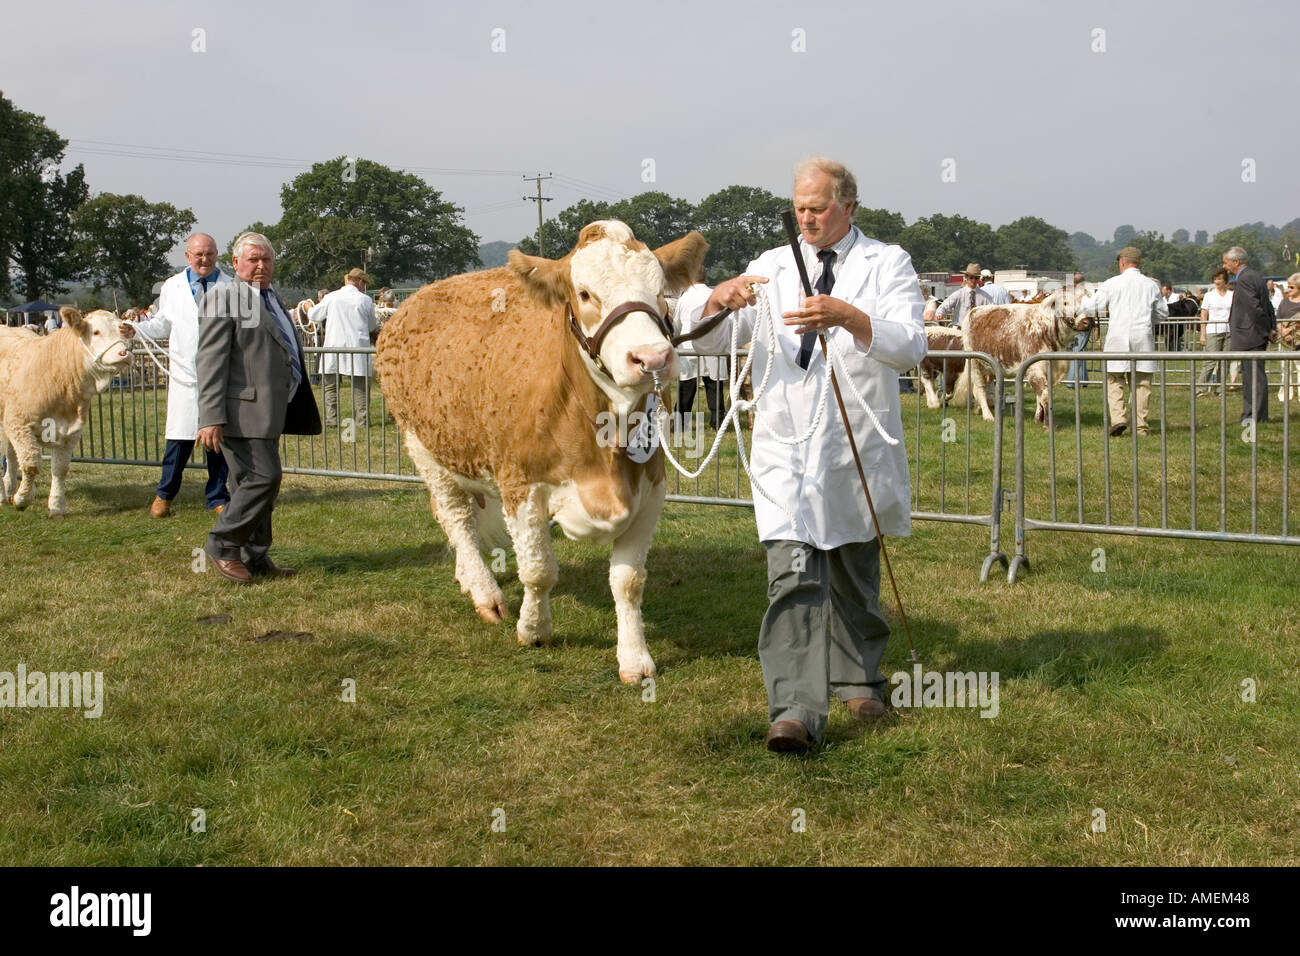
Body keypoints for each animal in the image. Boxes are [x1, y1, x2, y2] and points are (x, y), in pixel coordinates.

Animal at [0, 307, 133, 515]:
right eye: (96, 332)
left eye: (122, 330)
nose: (124, 354)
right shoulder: (18, 423)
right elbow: (31, 465)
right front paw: (22, 499)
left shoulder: (71, 432)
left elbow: (60, 469)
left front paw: (56, 506)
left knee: (11, 454)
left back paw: (10, 486)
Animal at [375, 220, 706, 683]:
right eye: (584, 294)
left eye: (661, 293)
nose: (652, 358)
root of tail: (414, 301)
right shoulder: (522, 487)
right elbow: (538, 570)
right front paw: (534, 629)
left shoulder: (651, 492)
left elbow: (628, 582)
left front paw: (634, 659)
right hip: (423, 446)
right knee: (456, 518)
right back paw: (485, 593)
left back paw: (466, 576)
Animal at [962, 293, 1091, 425]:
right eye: (1065, 302)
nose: (1087, 322)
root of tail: (973, 311)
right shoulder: (1034, 368)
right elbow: (1044, 394)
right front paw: (1047, 422)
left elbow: (1041, 395)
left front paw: (1038, 418)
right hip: (975, 363)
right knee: (980, 388)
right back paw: (987, 415)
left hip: (990, 366)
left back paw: (978, 409)